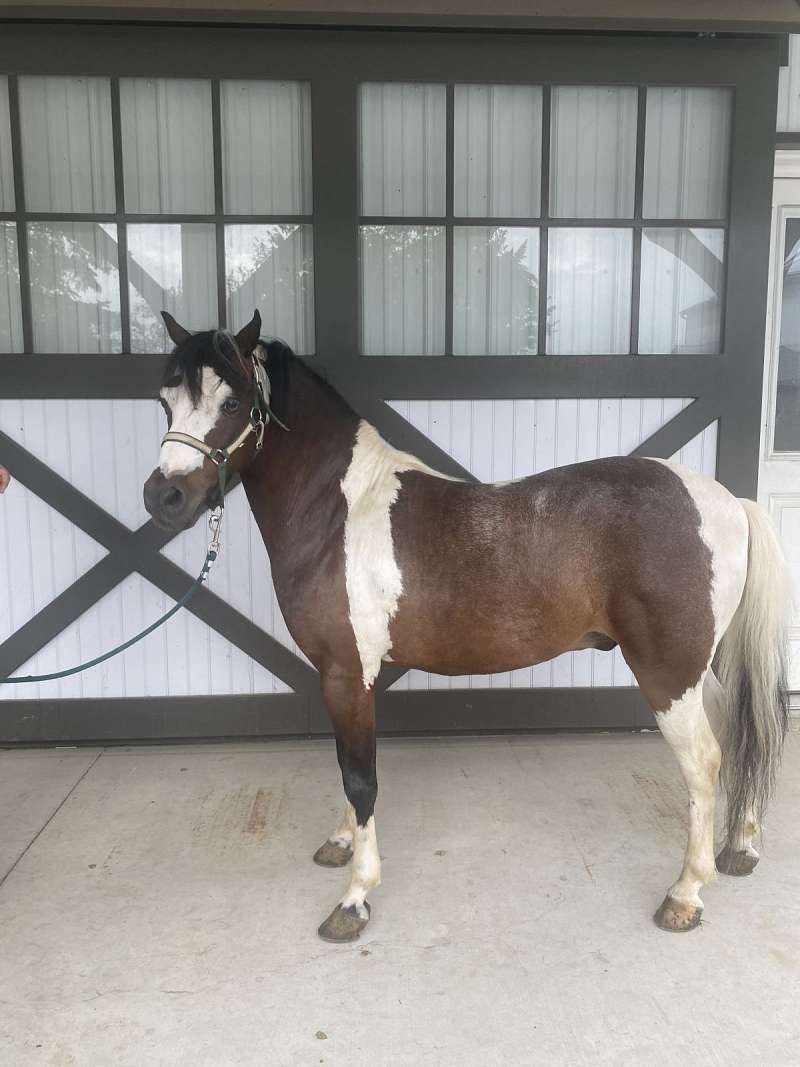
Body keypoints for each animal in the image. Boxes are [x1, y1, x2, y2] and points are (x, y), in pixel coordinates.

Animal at [143, 310, 790, 943]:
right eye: (165, 401)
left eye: (231, 403)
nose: (162, 498)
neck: (339, 513)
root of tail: (728, 502)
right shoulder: (339, 678)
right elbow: (346, 768)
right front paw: (341, 842)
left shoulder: (348, 675)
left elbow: (361, 777)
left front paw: (354, 899)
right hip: (696, 668)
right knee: (736, 729)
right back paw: (741, 847)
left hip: (667, 673)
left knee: (704, 762)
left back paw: (686, 893)